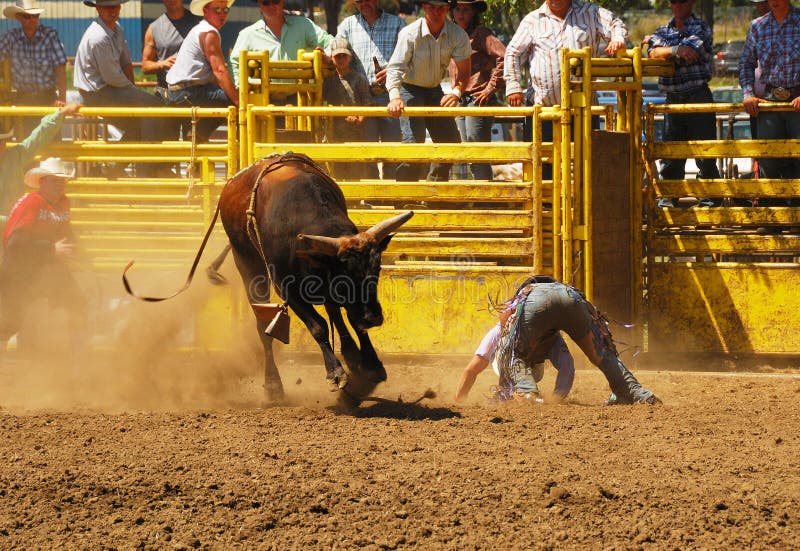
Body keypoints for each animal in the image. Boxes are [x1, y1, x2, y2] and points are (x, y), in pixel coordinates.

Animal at [218, 153, 413, 404]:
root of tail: (233, 182)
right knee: (263, 327)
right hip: (247, 263)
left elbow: (349, 319)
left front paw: (371, 365)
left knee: (335, 313)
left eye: (376, 268)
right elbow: (318, 326)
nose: (373, 317)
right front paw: (336, 373)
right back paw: (273, 385)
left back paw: (352, 355)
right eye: (344, 277)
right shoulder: (287, 290)